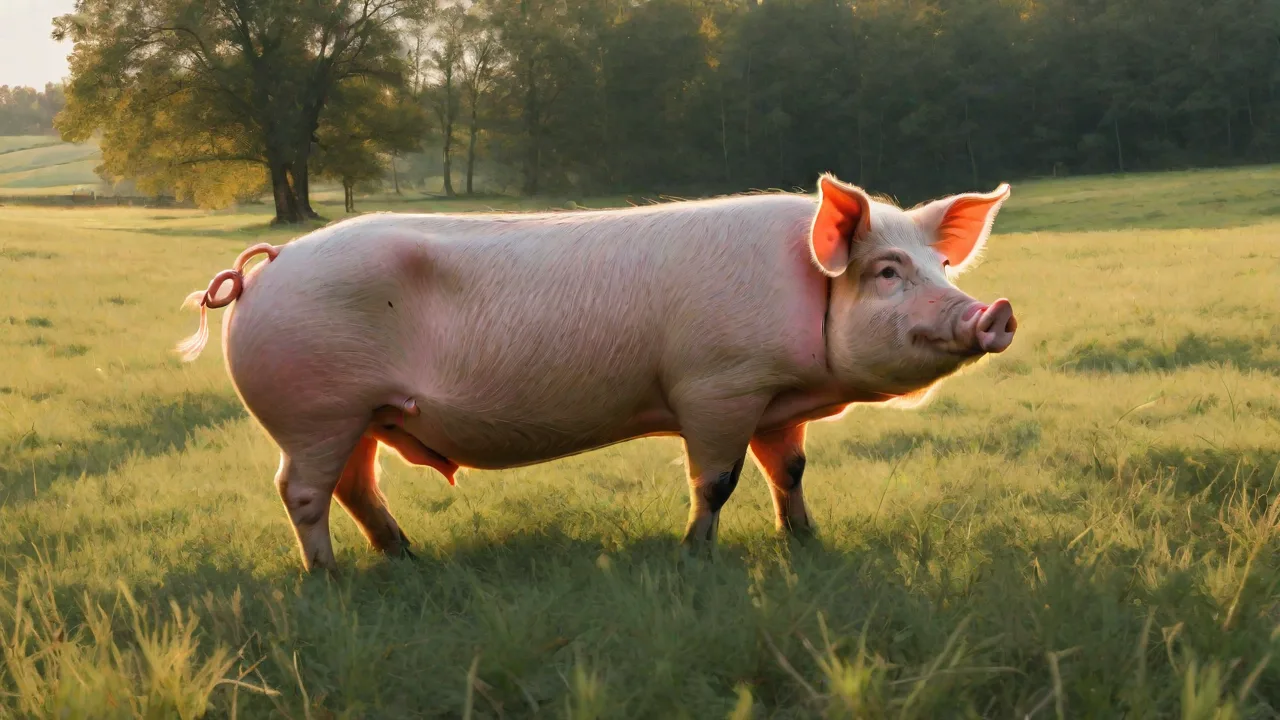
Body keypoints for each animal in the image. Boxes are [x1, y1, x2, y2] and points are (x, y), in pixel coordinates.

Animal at [176, 174, 1017, 573]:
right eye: (887, 271)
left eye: (942, 267)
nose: (994, 310)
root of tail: (268, 265)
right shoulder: (717, 385)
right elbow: (716, 481)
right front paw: (693, 556)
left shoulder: (774, 405)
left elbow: (790, 473)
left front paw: (806, 543)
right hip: (313, 411)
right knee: (301, 491)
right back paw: (328, 578)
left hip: (360, 413)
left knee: (356, 486)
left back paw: (406, 557)